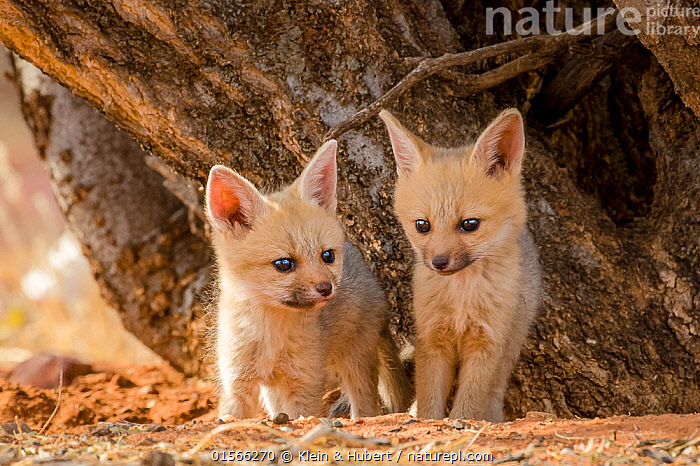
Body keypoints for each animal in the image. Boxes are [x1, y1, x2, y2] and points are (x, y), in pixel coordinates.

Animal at [206, 140, 411, 420]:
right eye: (283, 264)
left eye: (327, 255)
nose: (326, 288)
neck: (271, 337)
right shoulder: (237, 382)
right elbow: (230, 418)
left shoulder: (305, 384)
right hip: (274, 390)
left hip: (356, 361)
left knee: (366, 407)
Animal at [379, 109, 541, 422]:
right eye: (422, 225)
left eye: (469, 224)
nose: (439, 262)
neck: (460, 301)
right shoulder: (432, 339)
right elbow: (430, 404)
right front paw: (427, 421)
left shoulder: (487, 343)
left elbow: (467, 406)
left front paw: (461, 424)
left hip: (509, 346)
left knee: (494, 392)